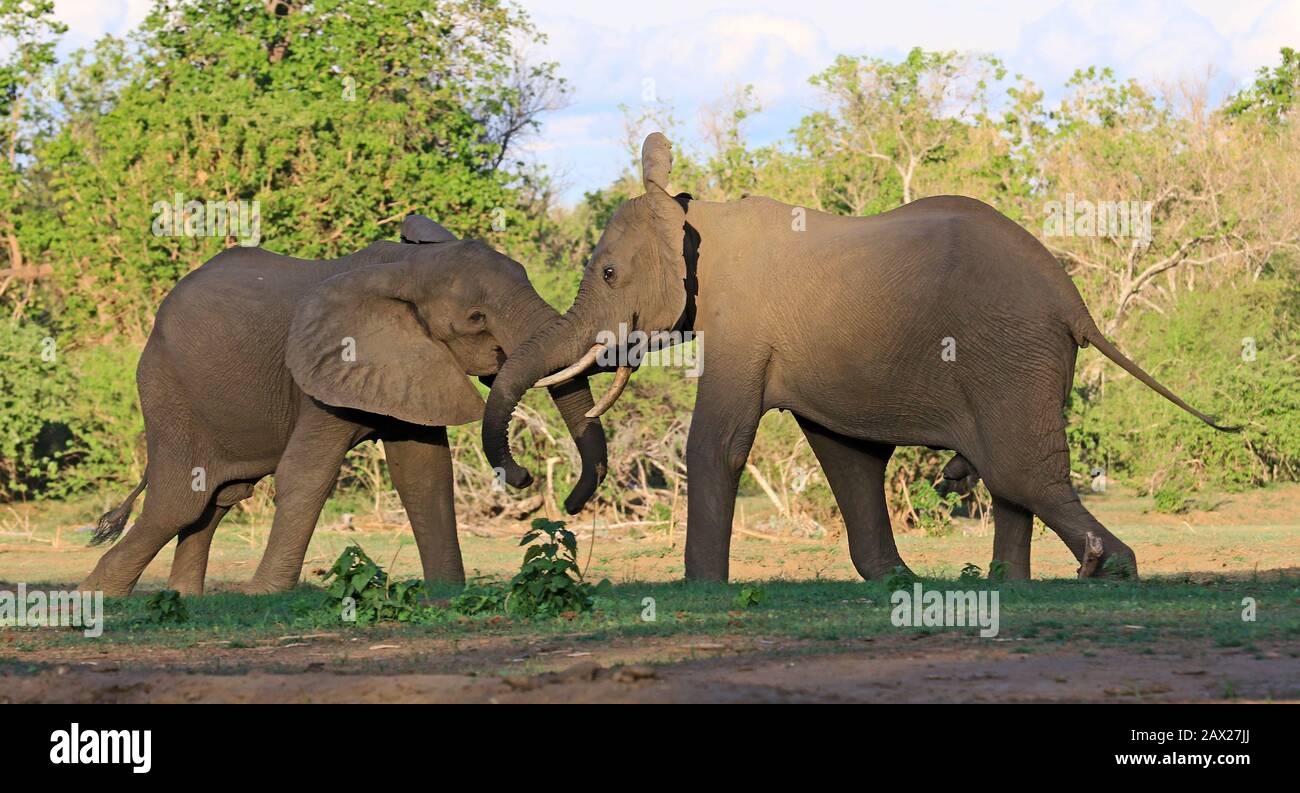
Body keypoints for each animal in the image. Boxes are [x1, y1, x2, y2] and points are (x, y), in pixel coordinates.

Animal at [79, 215, 606, 597]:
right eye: (476, 318)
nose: (525, 477)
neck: (406, 268)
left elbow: (424, 473)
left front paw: (447, 594)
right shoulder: (325, 367)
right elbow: (308, 473)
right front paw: (264, 595)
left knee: (218, 499)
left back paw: (183, 599)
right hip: (167, 388)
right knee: (180, 502)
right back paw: (97, 598)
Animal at [481, 132, 1238, 583]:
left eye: (608, 273)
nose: (528, 481)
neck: (697, 213)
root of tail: (1072, 299)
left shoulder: (741, 323)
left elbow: (717, 445)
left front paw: (698, 590)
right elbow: (844, 454)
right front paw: (896, 581)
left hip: (1011, 351)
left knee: (1022, 472)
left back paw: (1108, 568)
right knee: (1009, 476)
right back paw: (1007, 583)